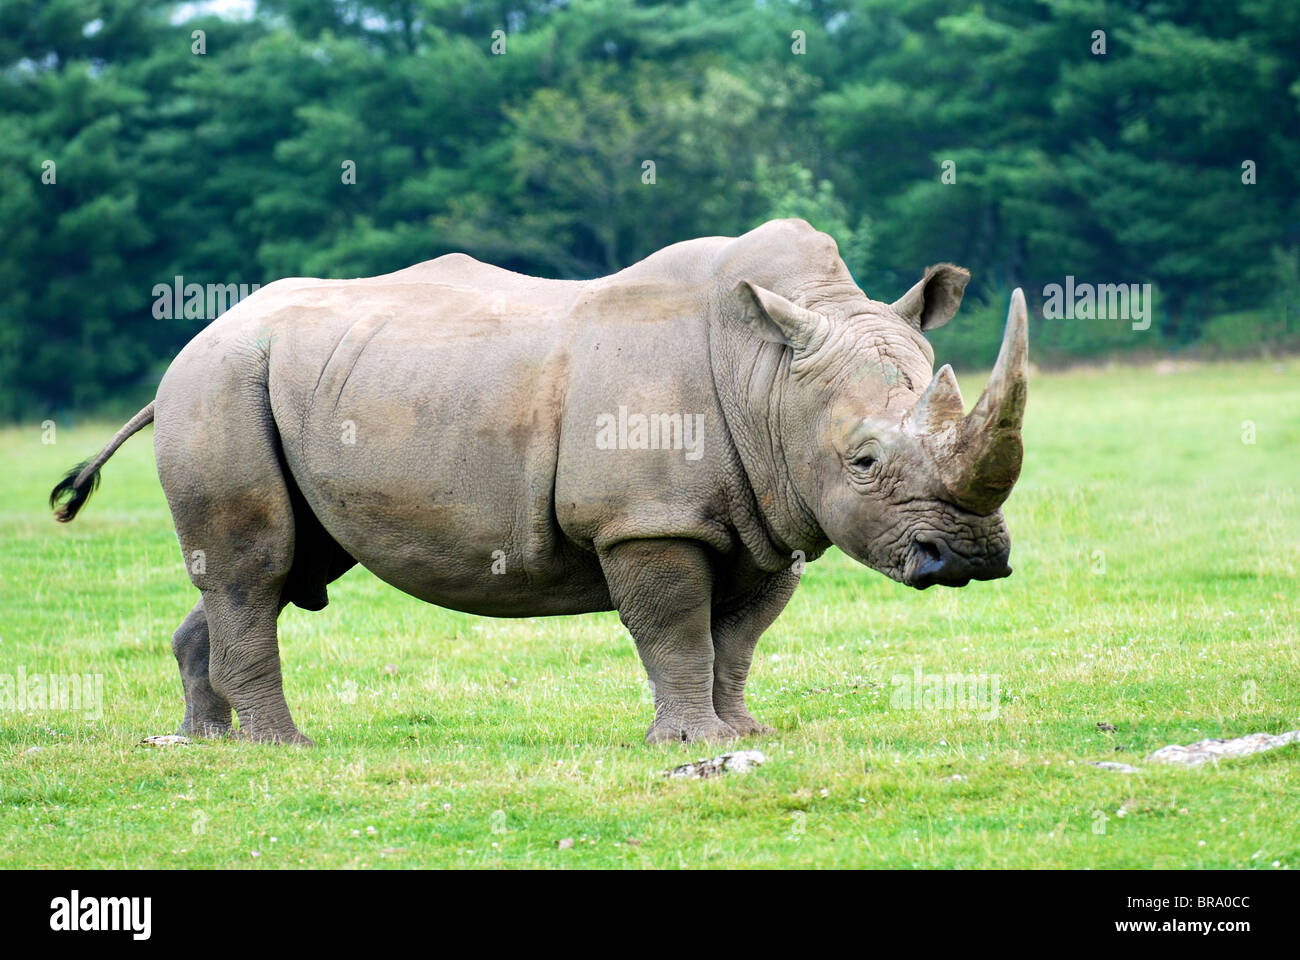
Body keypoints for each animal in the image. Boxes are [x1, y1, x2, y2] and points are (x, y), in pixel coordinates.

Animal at [51, 219, 1027, 745]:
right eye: (864, 462)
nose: (969, 557)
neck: (768, 377)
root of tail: (184, 353)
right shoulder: (648, 516)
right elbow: (678, 629)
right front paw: (686, 742)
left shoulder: (769, 510)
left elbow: (740, 636)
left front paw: (743, 734)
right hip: (218, 385)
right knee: (255, 568)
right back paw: (284, 747)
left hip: (282, 384)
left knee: (284, 567)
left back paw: (207, 743)